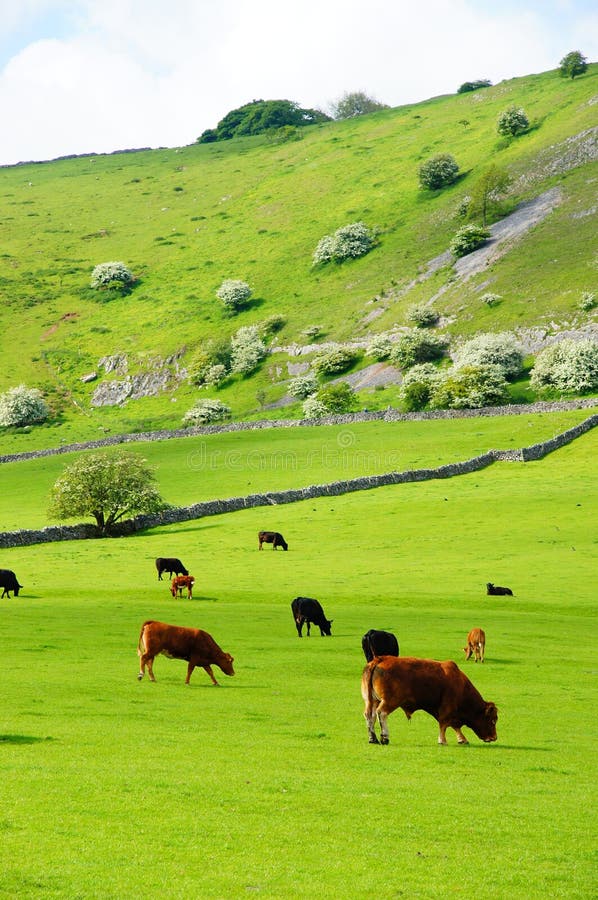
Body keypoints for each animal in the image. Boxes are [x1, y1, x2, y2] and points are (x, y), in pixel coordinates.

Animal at [361, 656, 498, 746]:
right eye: (492, 720)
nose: (494, 737)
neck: (460, 684)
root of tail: (380, 659)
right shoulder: (447, 709)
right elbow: (444, 724)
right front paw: (442, 740)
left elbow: (454, 726)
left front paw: (462, 739)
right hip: (390, 701)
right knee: (381, 713)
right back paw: (384, 737)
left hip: (372, 701)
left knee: (370, 716)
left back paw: (372, 738)